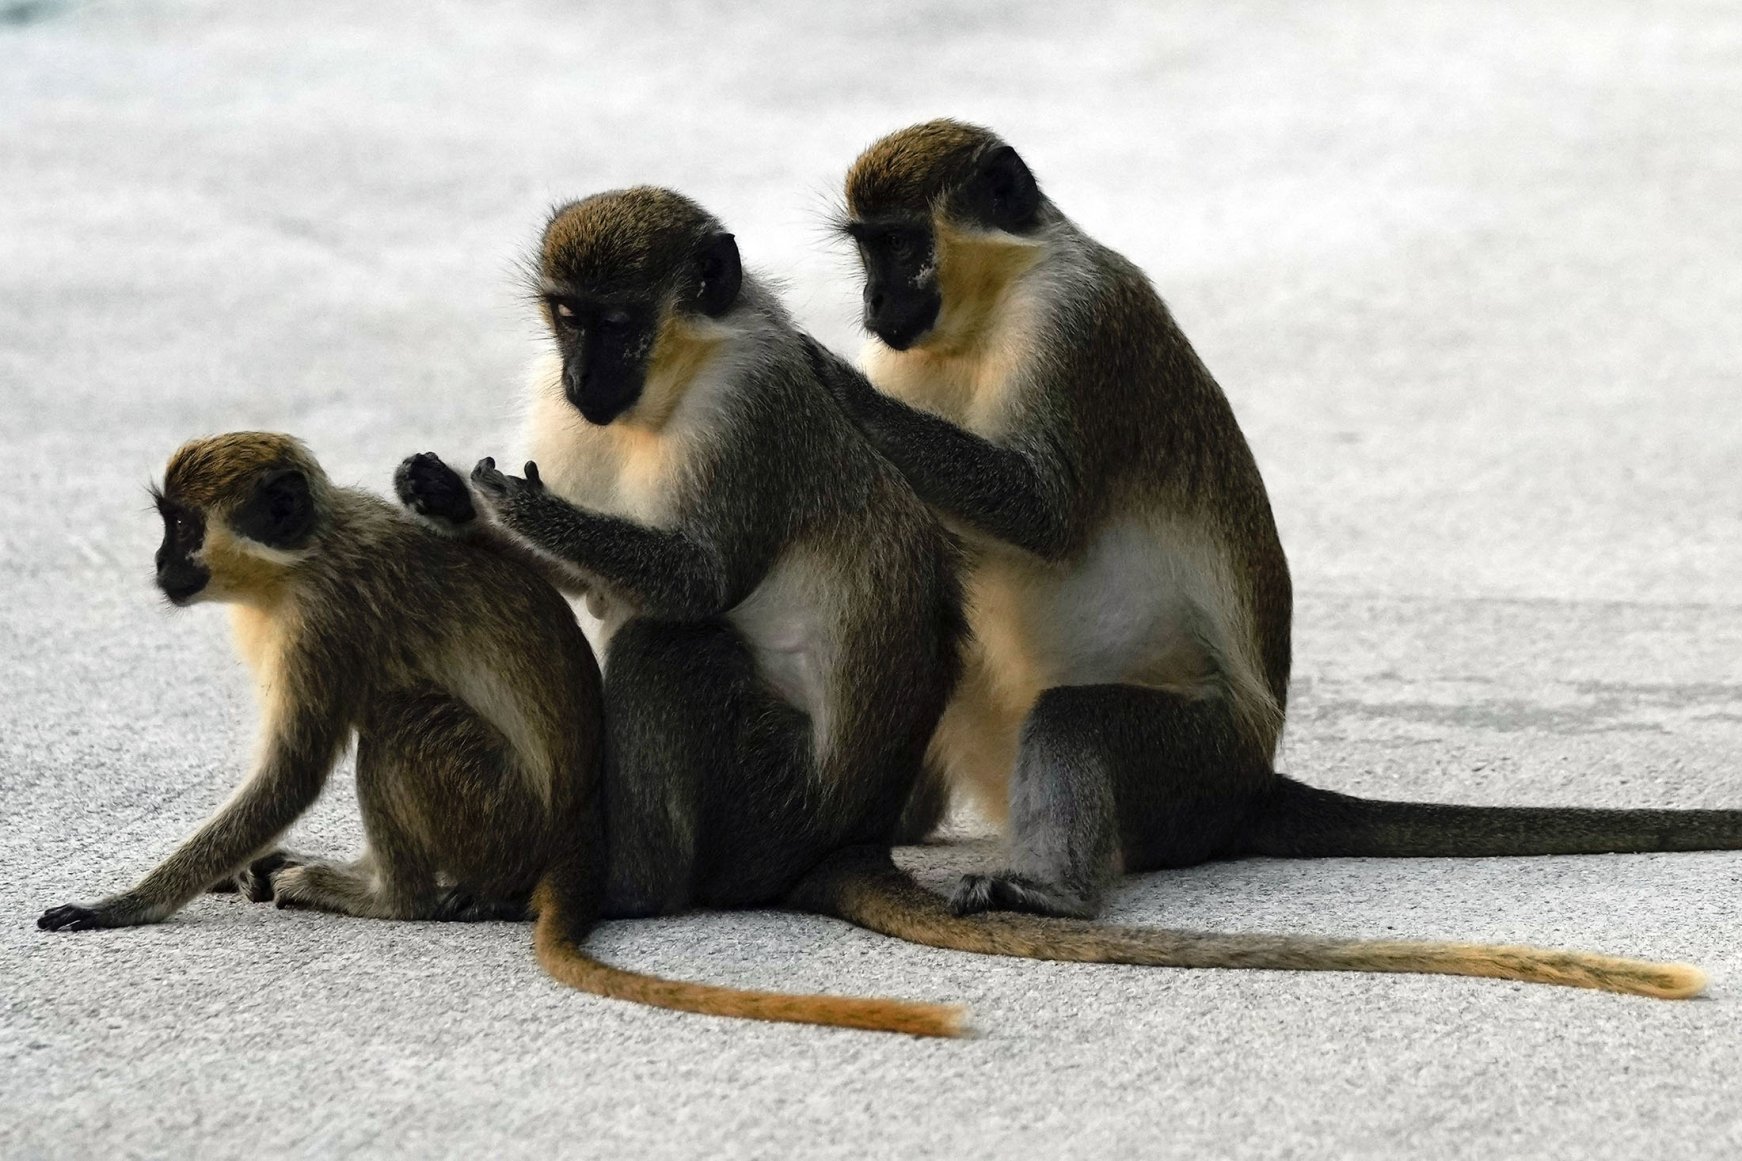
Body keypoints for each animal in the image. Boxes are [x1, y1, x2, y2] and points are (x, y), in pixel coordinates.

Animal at [36, 431, 968, 1038]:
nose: (161, 566)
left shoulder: (324, 620)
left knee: (400, 720)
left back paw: (387, 894)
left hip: (494, 815)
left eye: (183, 528)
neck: (305, 556)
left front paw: (122, 905)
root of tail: (568, 834)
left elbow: (291, 775)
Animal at [392, 187, 1706, 1002]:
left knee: (677, 647)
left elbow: (694, 582)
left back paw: (645, 888)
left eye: (619, 322)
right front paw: (446, 498)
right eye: (566, 320)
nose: (585, 375)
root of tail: (833, 834)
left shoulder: (752, 411)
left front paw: (494, 506)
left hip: (772, 803)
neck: (669, 383)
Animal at [817, 117, 1742, 923]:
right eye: (866, 248)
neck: (989, 309)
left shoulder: (1076, 321)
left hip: (1197, 768)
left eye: (899, 245)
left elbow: (1043, 512)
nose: (874, 299)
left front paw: (830, 382)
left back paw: (1052, 889)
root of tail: (1253, 786)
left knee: (1074, 719)